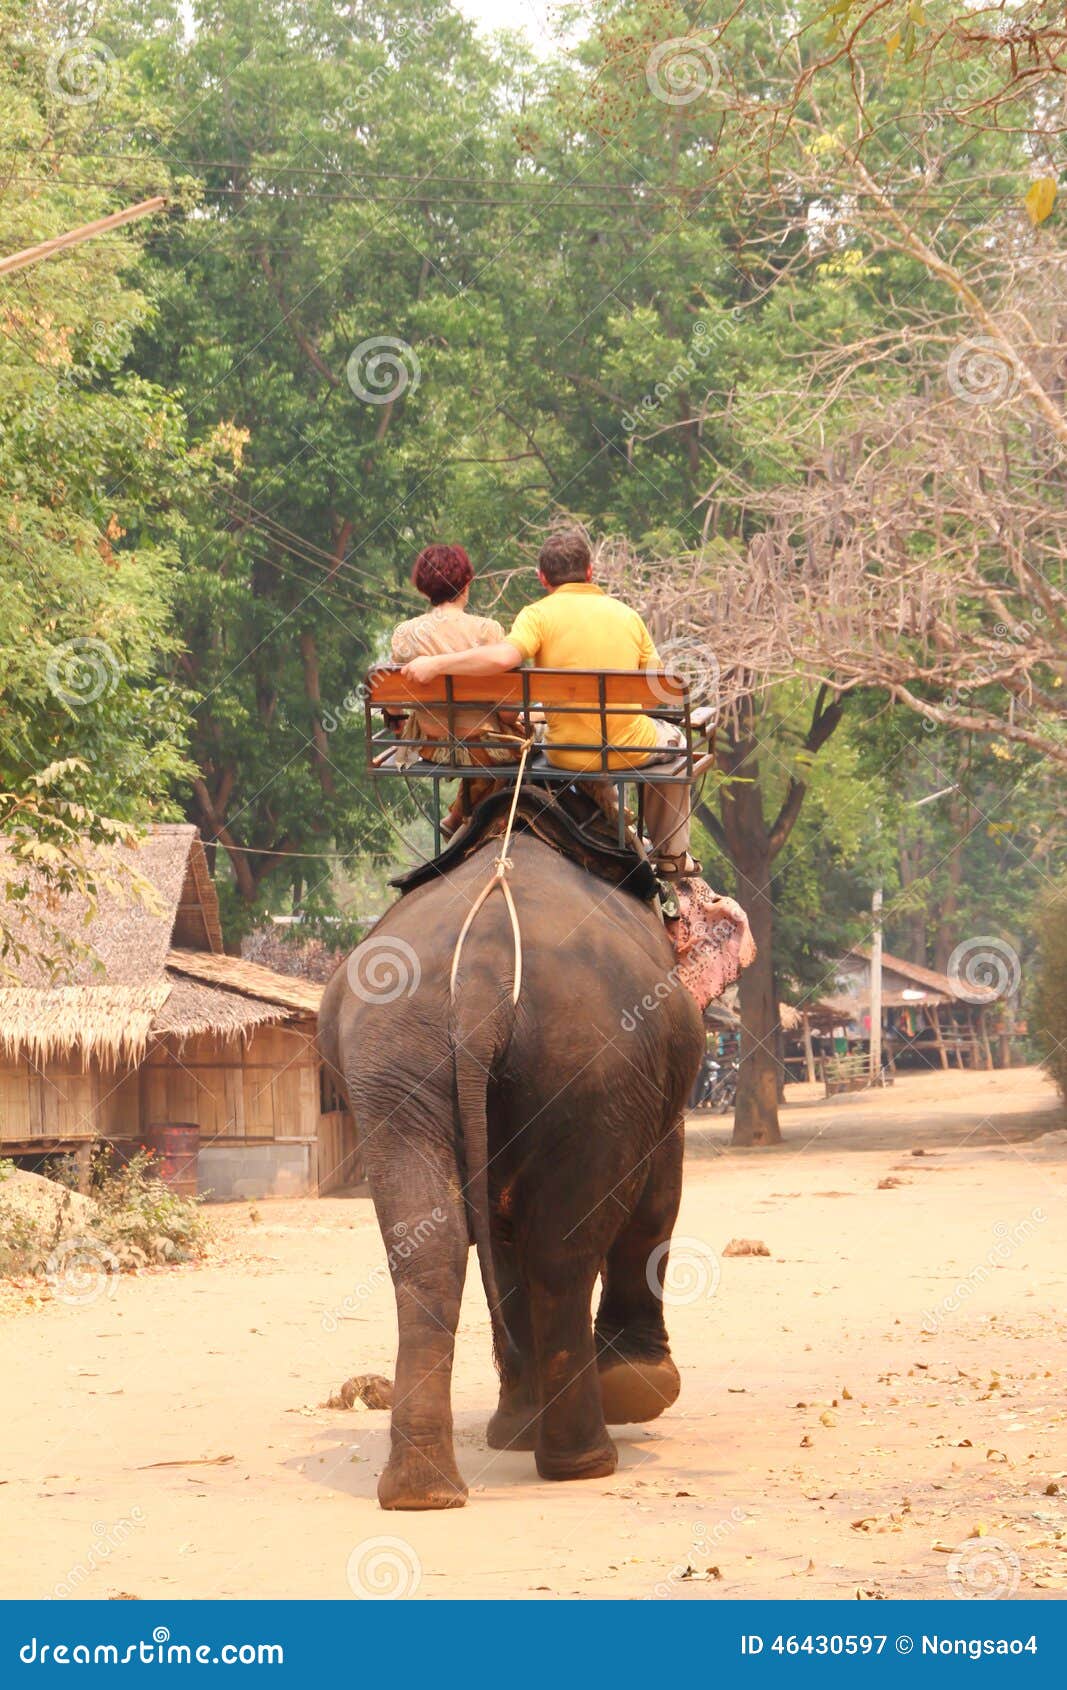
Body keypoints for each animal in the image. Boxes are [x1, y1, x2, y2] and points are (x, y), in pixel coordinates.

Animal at [318, 830, 705, 1510]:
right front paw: (639, 1387)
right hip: (596, 1069)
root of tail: (480, 984)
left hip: (393, 1061)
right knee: (562, 1253)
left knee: (432, 1246)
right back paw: (583, 1460)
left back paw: (424, 1490)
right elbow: (658, 1194)